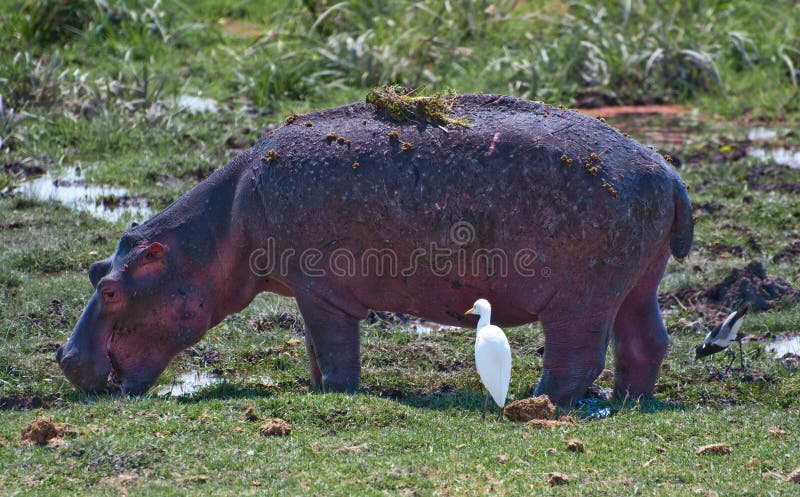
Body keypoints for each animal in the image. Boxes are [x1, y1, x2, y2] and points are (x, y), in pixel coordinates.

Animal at [56, 94, 693, 407]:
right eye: (94, 268)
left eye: (110, 289)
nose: (63, 358)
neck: (217, 231)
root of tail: (668, 170)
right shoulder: (308, 290)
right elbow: (314, 347)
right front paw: (315, 388)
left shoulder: (321, 291)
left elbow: (334, 347)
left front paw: (336, 393)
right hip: (638, 281)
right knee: (645, 343)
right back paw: (627, 401)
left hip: (583, 294)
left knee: (577, 356)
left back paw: (539, 404)